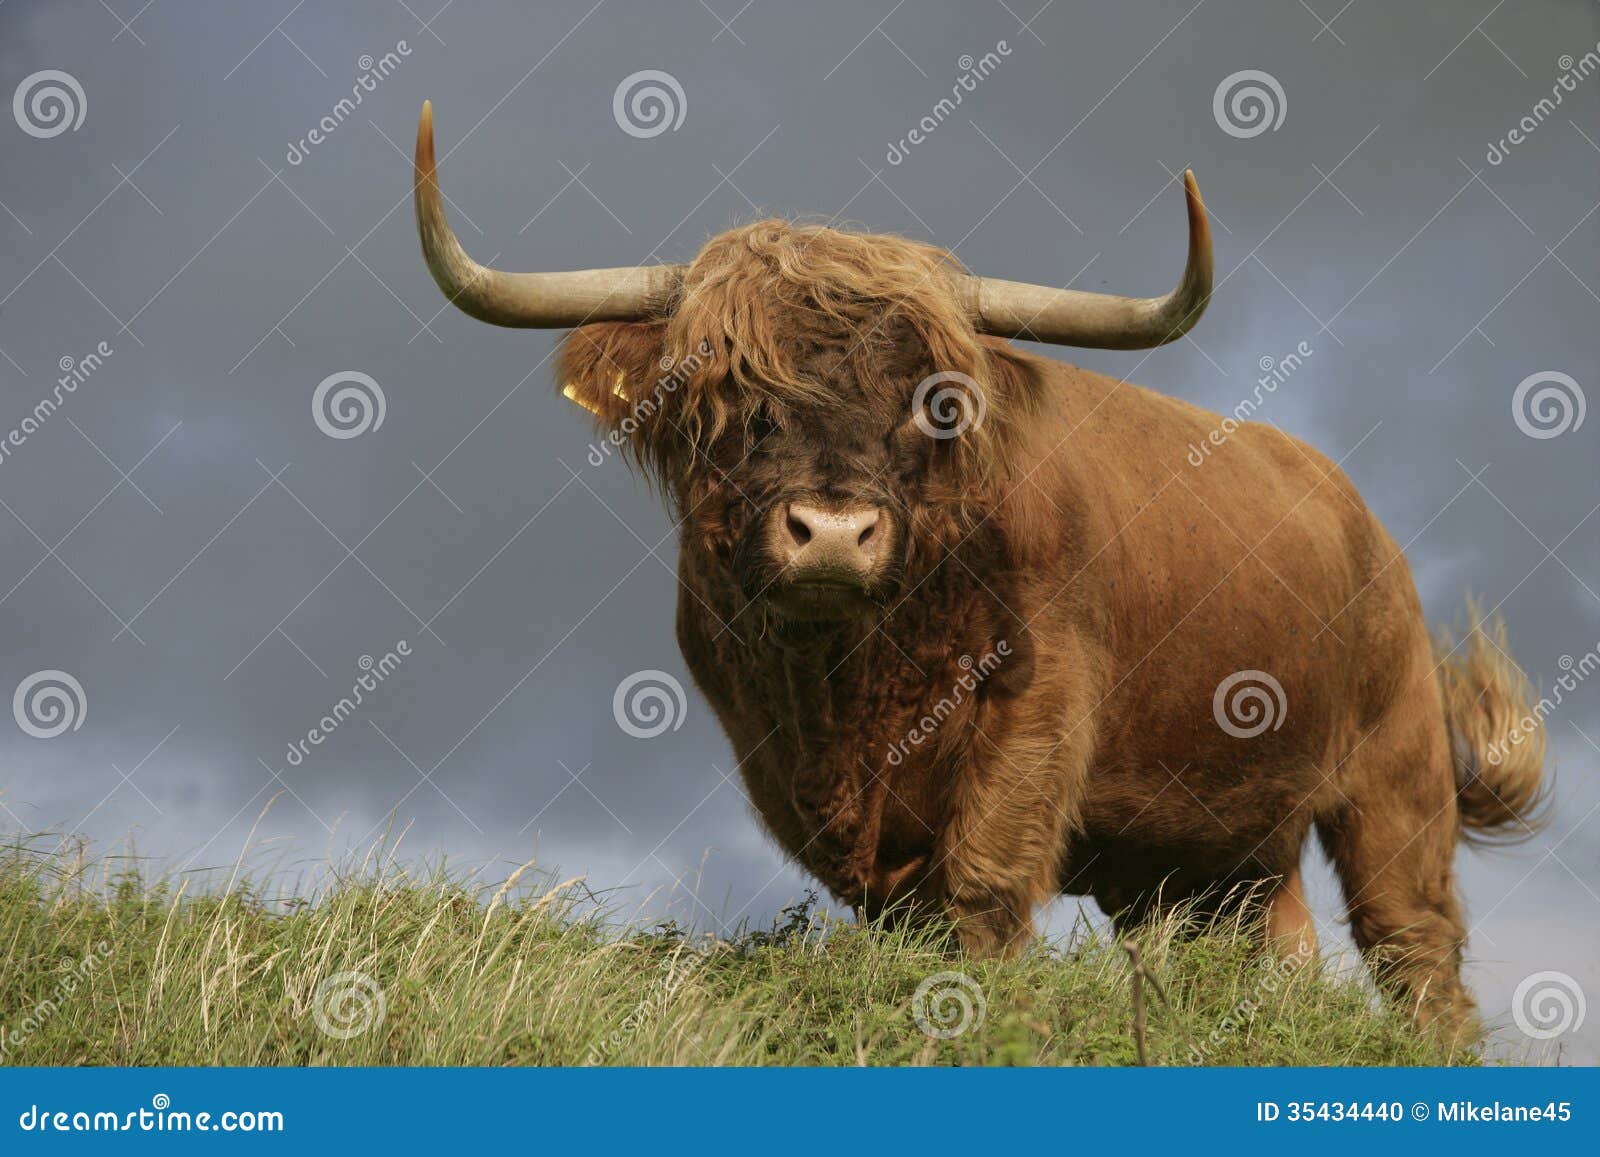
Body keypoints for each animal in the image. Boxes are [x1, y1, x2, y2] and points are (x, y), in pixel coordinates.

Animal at [413, 102, 1547, 1042]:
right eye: (729, 392)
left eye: (937, 403)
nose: (833, 531)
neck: (849, 683)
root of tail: (1360, 520)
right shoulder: (779, 762)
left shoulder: (1033, 718)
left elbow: (982, 892)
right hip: (1211, 844)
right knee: (1257, 946)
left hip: (1393, 783)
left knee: (1415, 952)